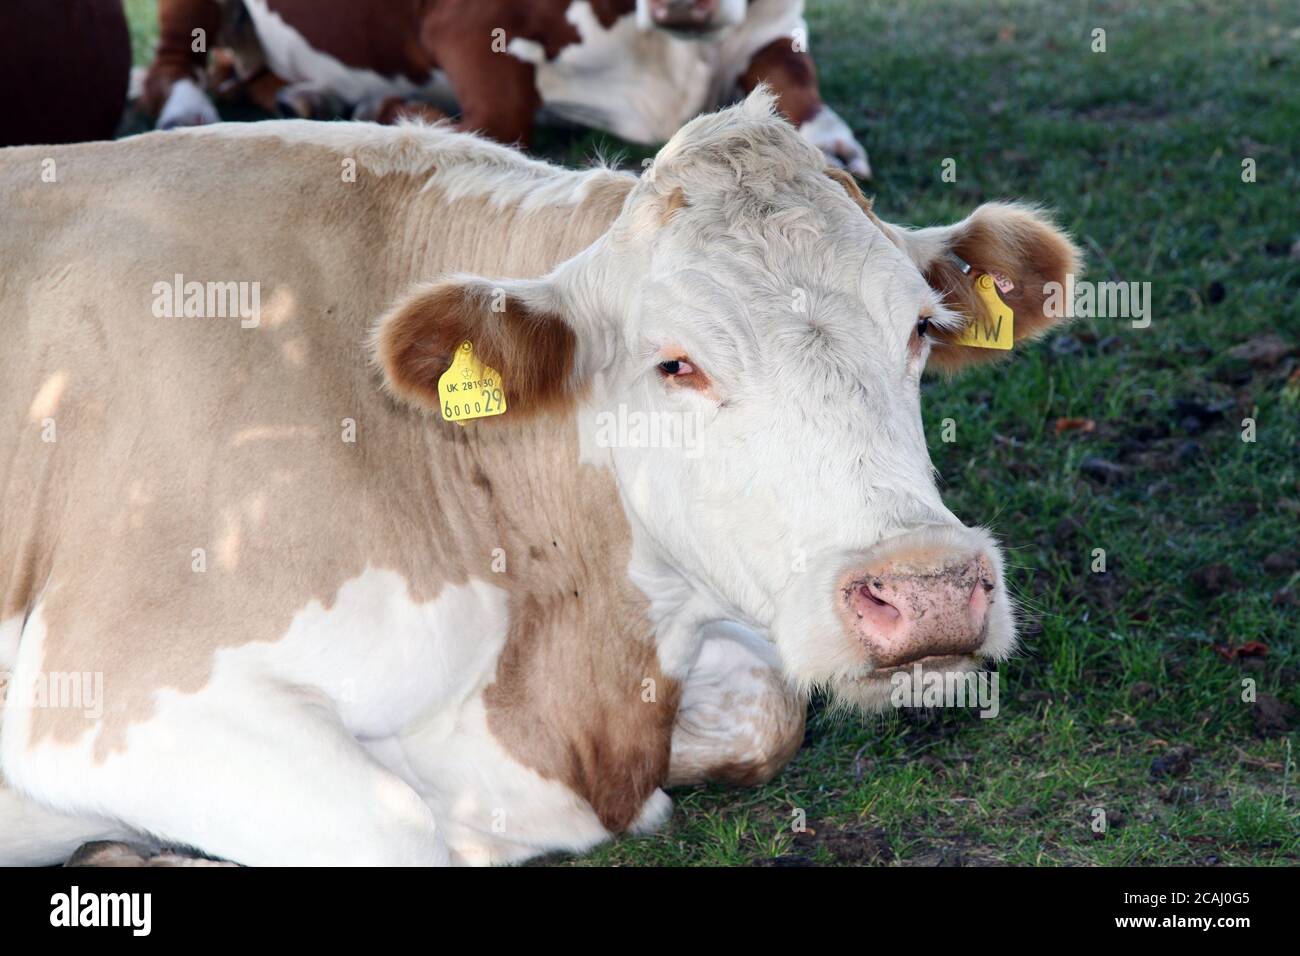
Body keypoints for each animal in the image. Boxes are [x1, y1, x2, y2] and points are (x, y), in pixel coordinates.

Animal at [0, 90, 1079, 866]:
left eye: (920, 329)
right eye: (675, 363)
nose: (928, 588)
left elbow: (767, 710)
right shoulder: (114, 691)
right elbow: (404, 831)